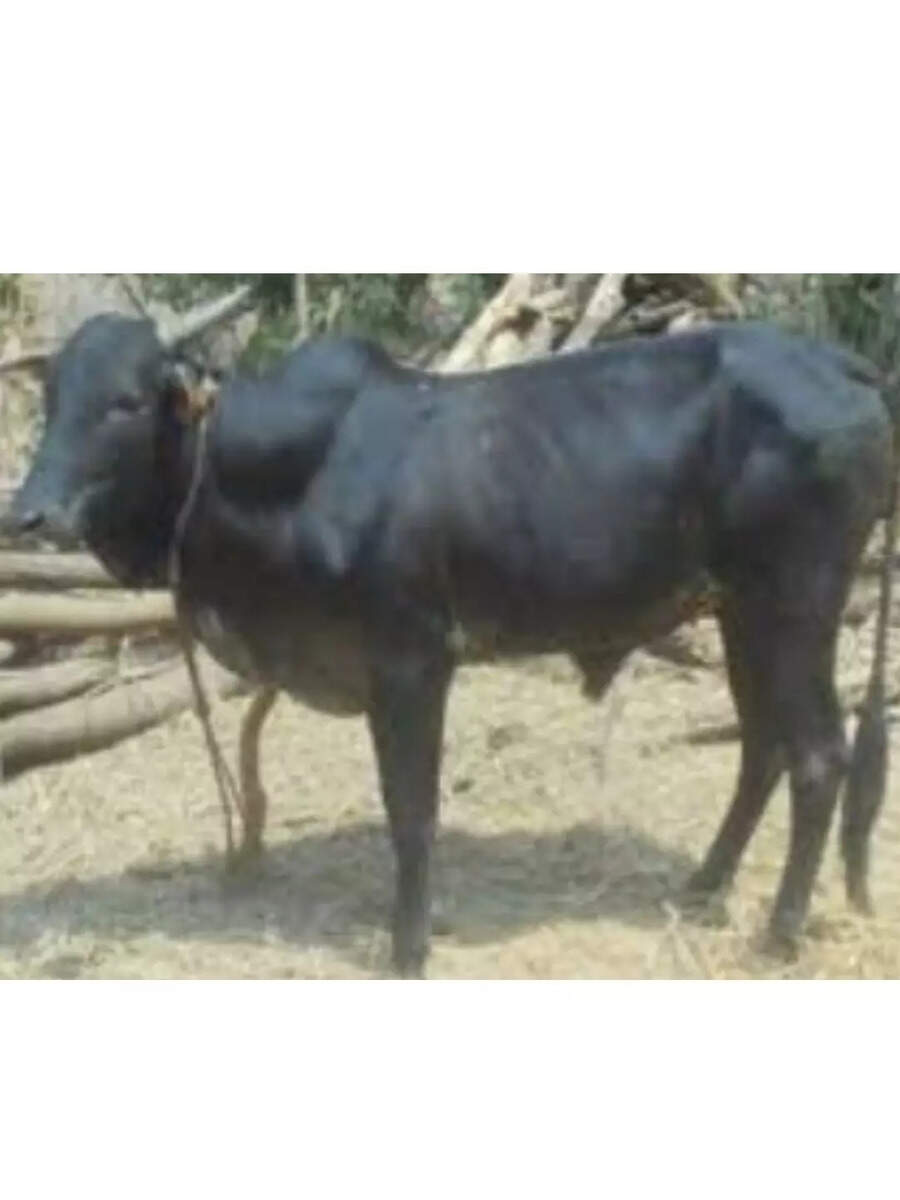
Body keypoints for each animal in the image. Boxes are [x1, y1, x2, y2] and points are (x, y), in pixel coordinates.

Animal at [2, 303, 897, 977]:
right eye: (52, 397)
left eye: (125, 401)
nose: (31, 515)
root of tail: (836, 362)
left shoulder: (411, 661)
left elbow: (412, 809)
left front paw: (408, 948)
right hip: (740, 614)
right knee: (763, 747)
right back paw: (704, 887)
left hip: (795, 606)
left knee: (818, 756)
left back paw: (779, 932)